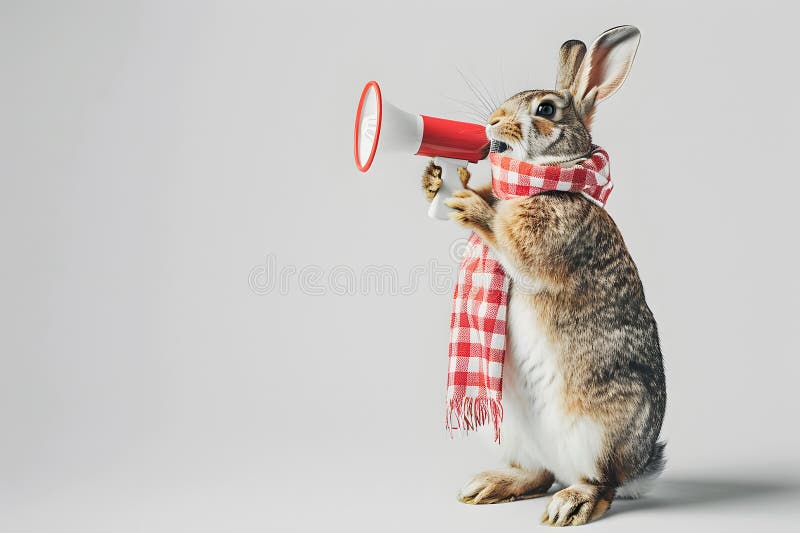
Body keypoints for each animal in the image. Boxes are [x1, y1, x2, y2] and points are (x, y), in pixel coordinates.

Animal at [422, 26, 665, 527]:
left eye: (546, 110)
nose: (493, 121)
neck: (540, 182)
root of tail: (641, 467)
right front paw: (437, 181)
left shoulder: (538, 244)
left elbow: (505, 236)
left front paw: (468, 205)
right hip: (513, 430)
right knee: (538, 474)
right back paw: (488, 486)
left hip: (600, 433)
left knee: (602, 484)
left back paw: (569, 506)